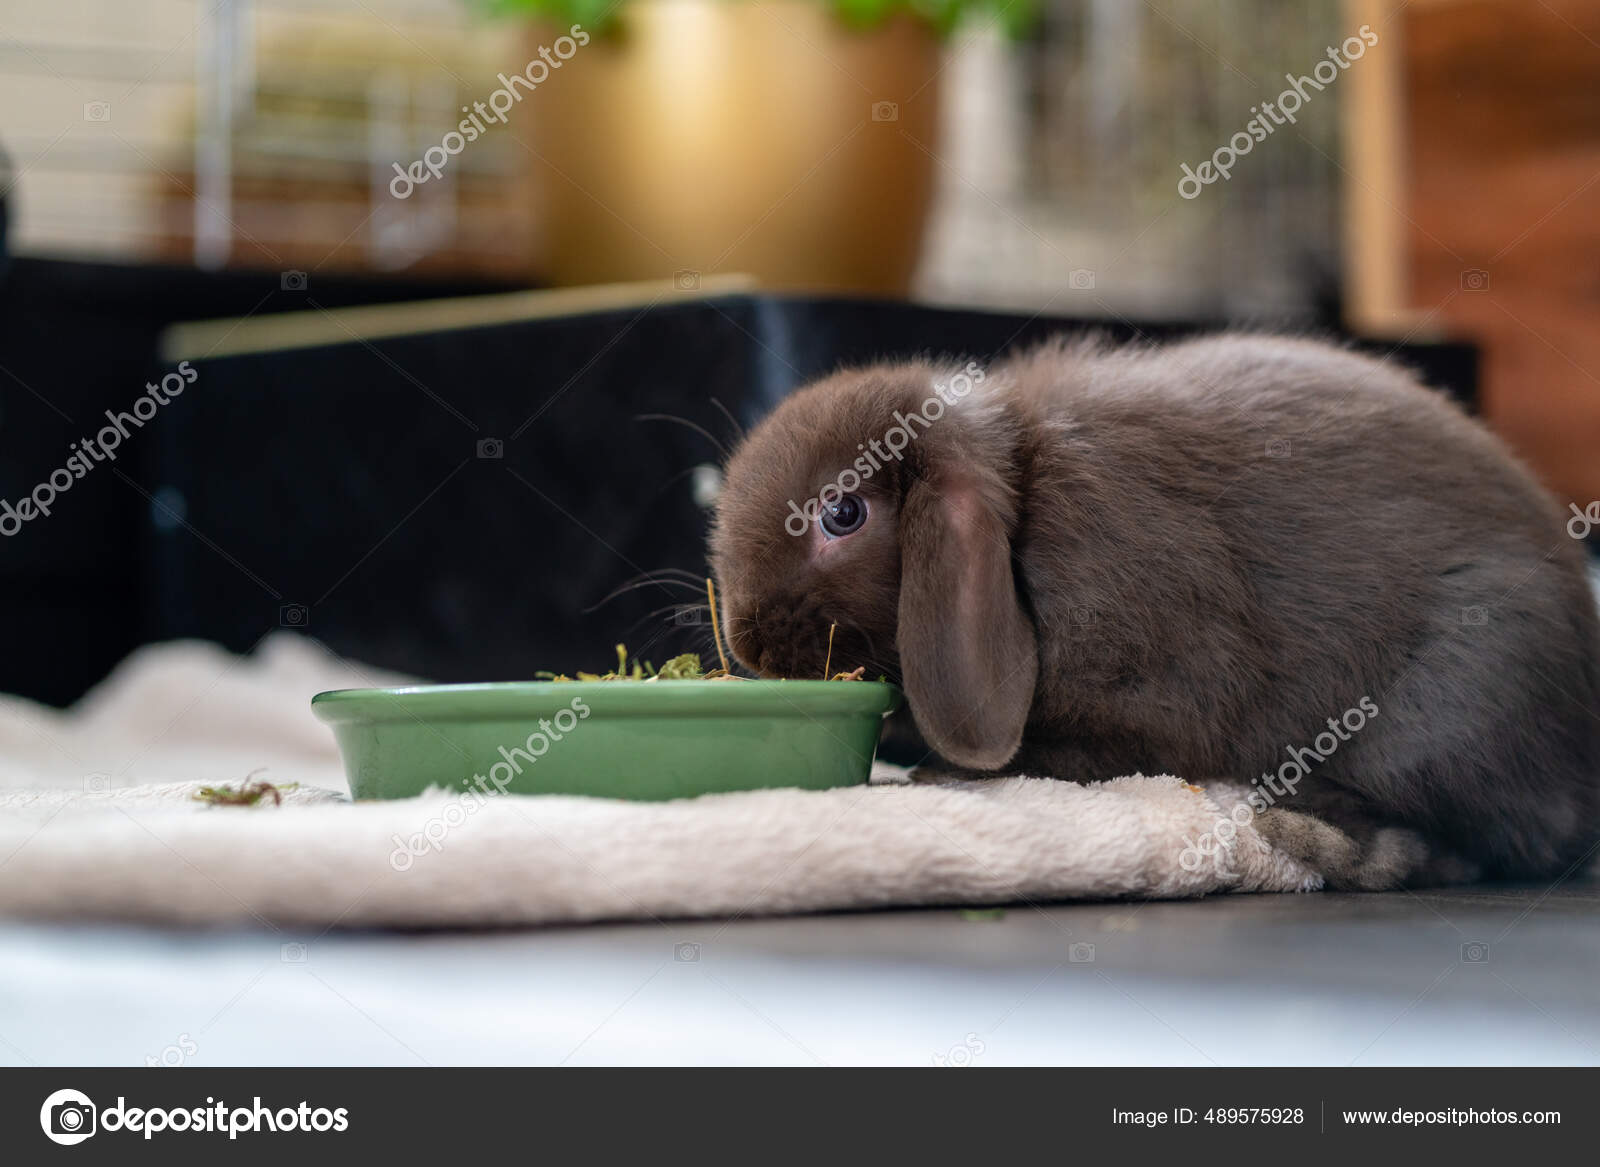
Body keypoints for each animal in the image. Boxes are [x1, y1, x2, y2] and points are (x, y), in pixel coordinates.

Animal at [708, 333, 1600, 890]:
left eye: (842, 514)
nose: (746, 640)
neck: (1026, 502)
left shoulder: (1158, 686)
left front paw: (935, 772)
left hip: (1442, 713)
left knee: (1480, 844)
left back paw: (1311, 832)